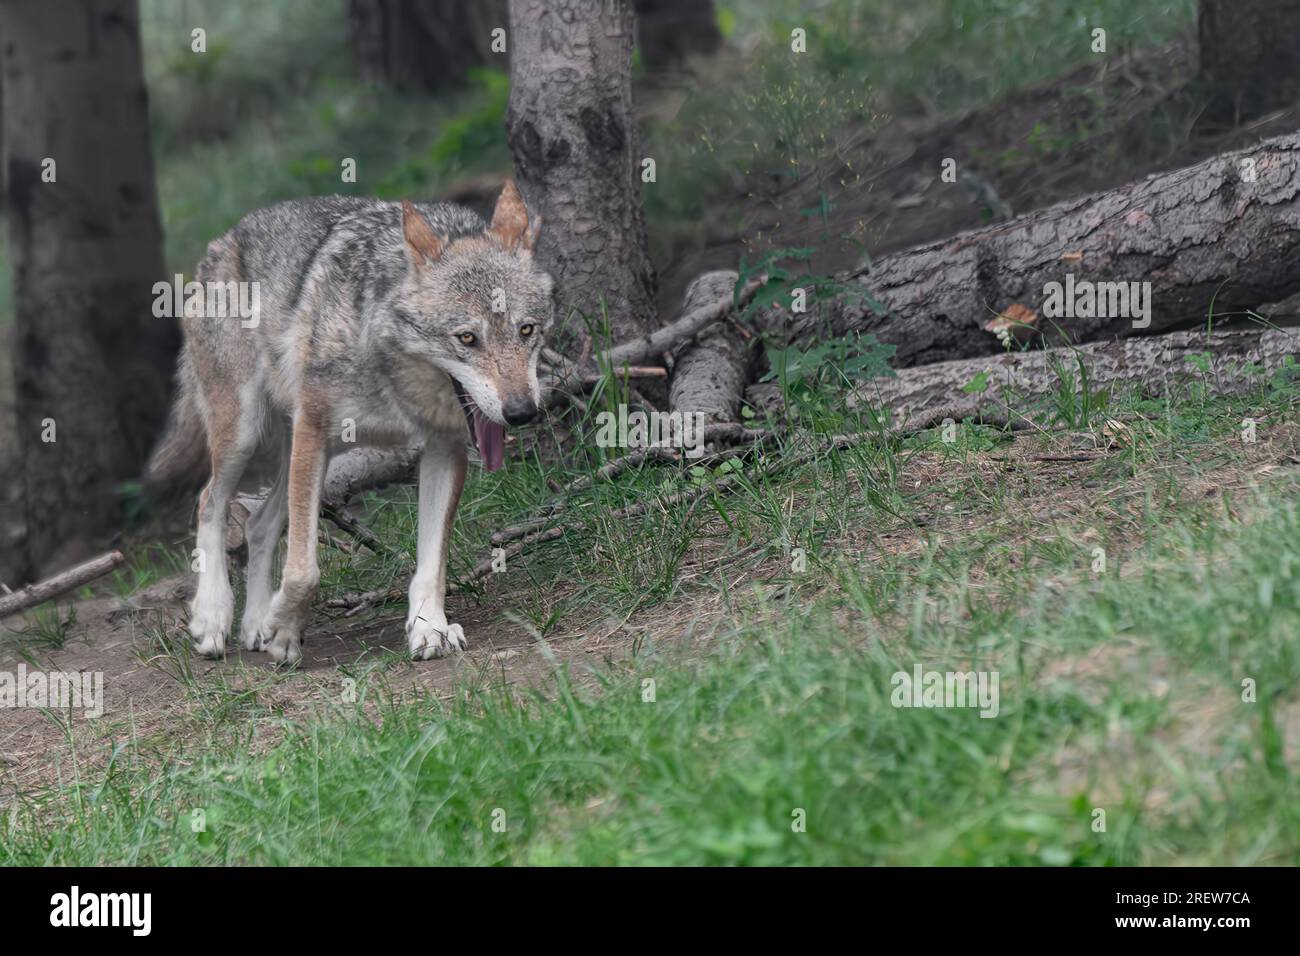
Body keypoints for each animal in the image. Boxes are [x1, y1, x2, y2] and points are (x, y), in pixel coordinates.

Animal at [148, 182, 551, 665]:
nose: (521, 412)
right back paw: (213, 616)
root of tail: (223, 239)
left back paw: (255, 622)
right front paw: (284, 630)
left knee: (258, 523)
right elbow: (304, 570)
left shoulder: (444, 450)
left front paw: (429, 627)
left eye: (527, 330)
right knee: (209, 501)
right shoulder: (315, 431)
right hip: (245, 436)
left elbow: (432, 564)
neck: (394, 375)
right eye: (467, 338)